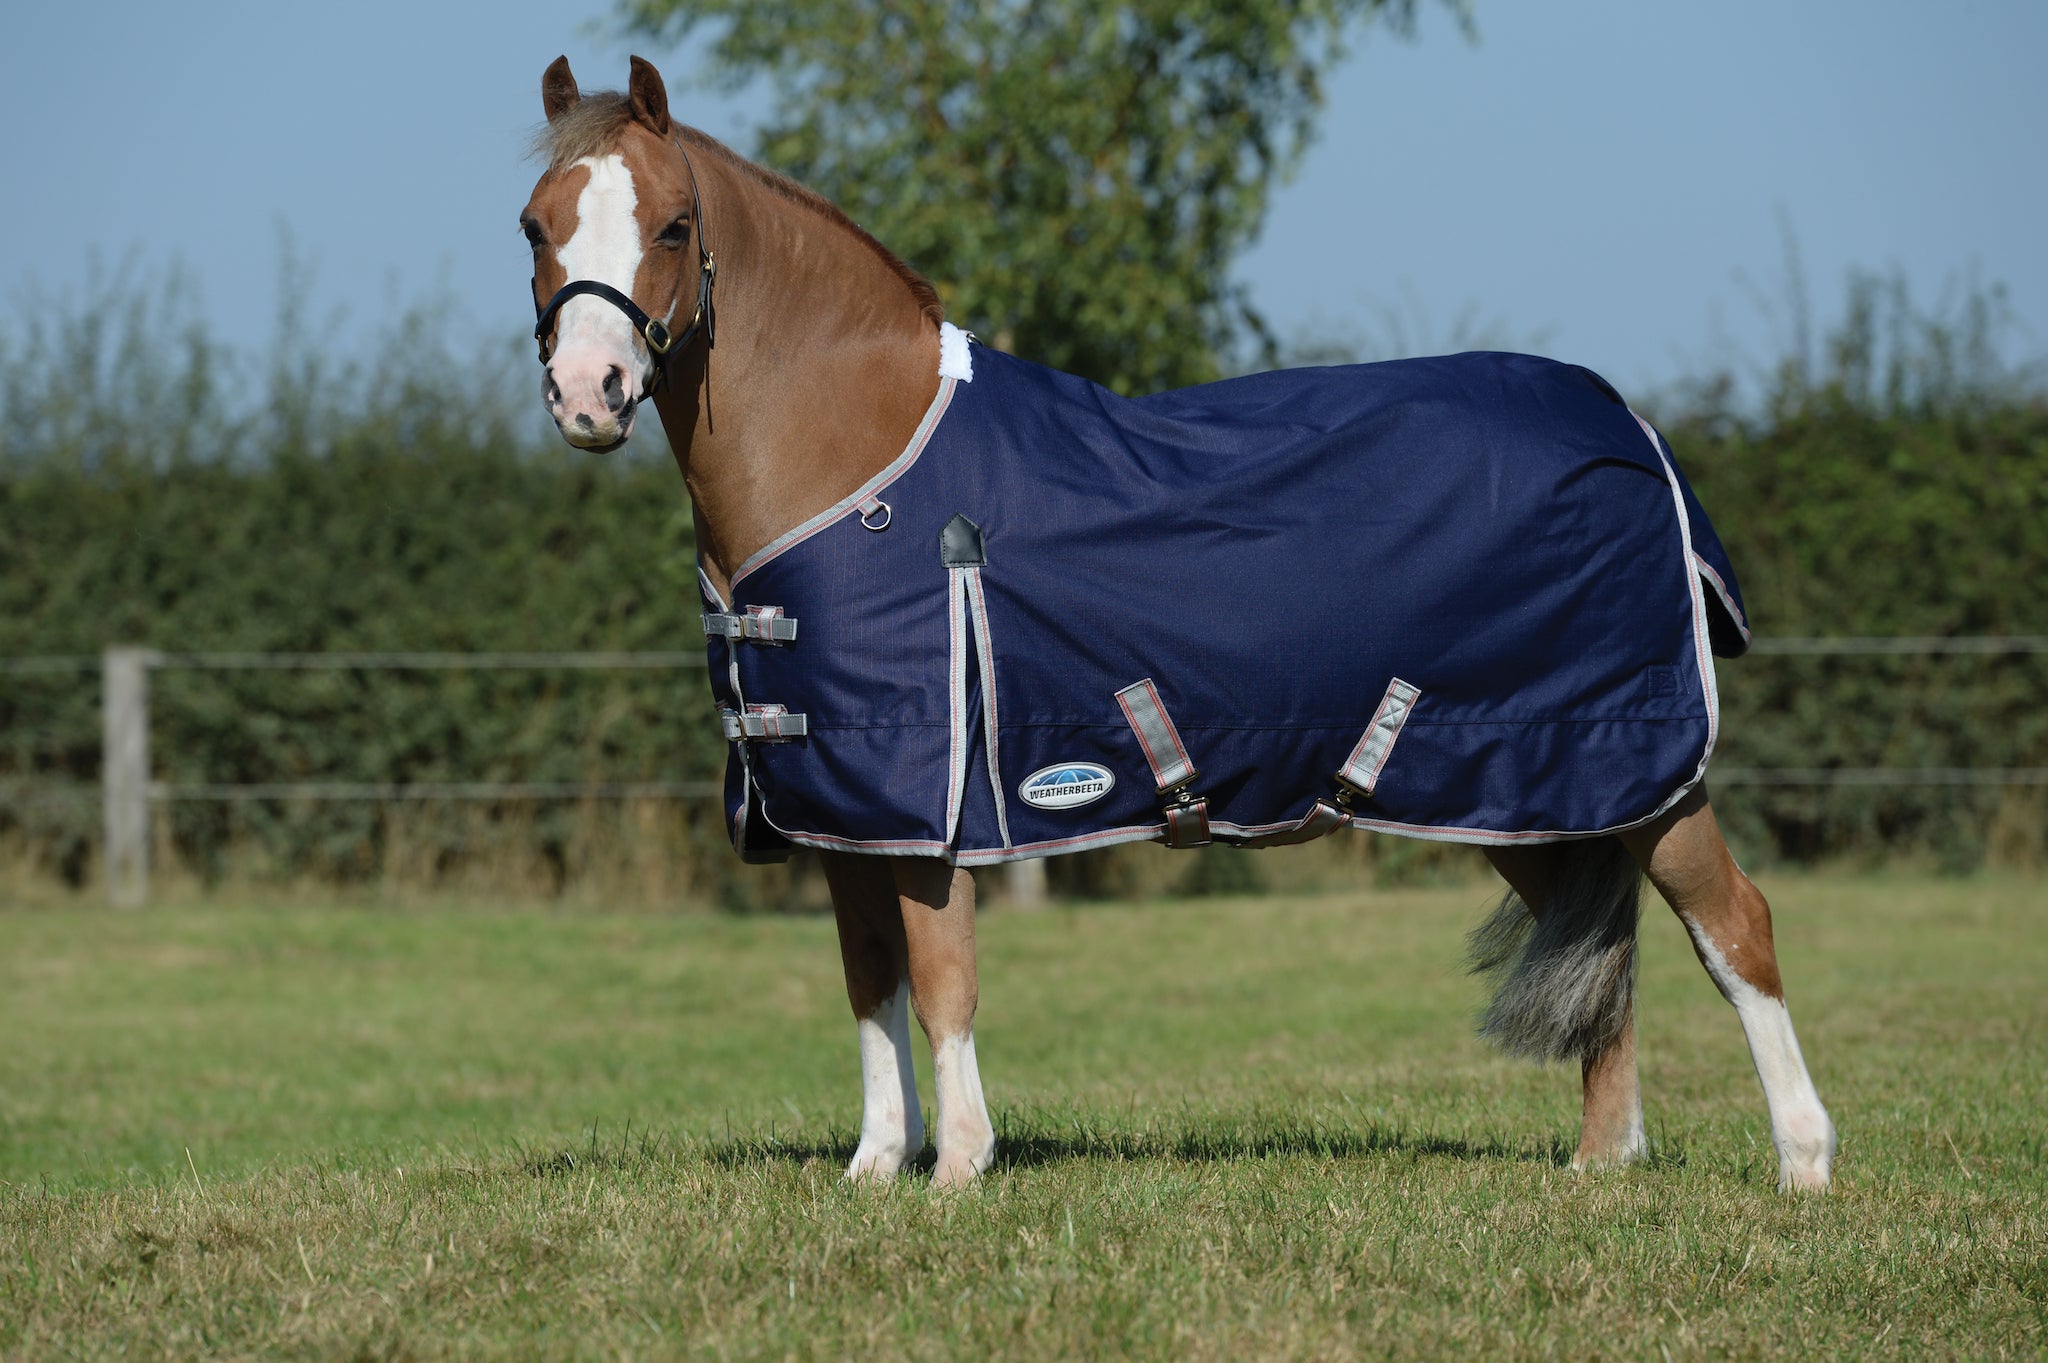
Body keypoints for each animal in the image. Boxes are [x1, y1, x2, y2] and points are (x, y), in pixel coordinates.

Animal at [517, 54, 1836, 1192]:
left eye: (672, 227)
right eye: (535, 225)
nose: (588, 396)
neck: (858, 460)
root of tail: (1627, 424)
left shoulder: (925, 797)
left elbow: (941, 980)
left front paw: (958, 1169)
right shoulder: (843, 805)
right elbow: (868, 985)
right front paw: (874, 1168)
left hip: (1632, 766)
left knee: (1734, 925)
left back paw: (1801, 1164)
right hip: (1520, 783)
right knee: (1602, 944)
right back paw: (1600, 1163)